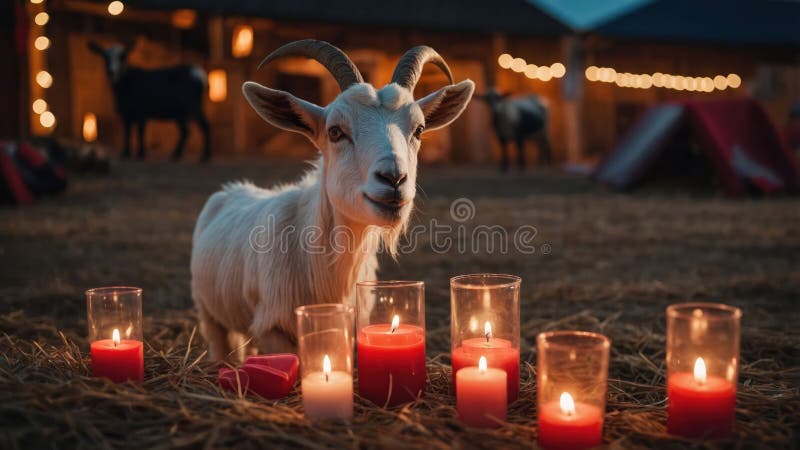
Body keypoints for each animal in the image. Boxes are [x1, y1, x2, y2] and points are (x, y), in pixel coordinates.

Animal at [190, 40, 474, 360]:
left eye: (419, 130)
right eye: (336, 131)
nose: (393, 179)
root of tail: (231, 190)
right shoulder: (272, 328)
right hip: (207, 310)